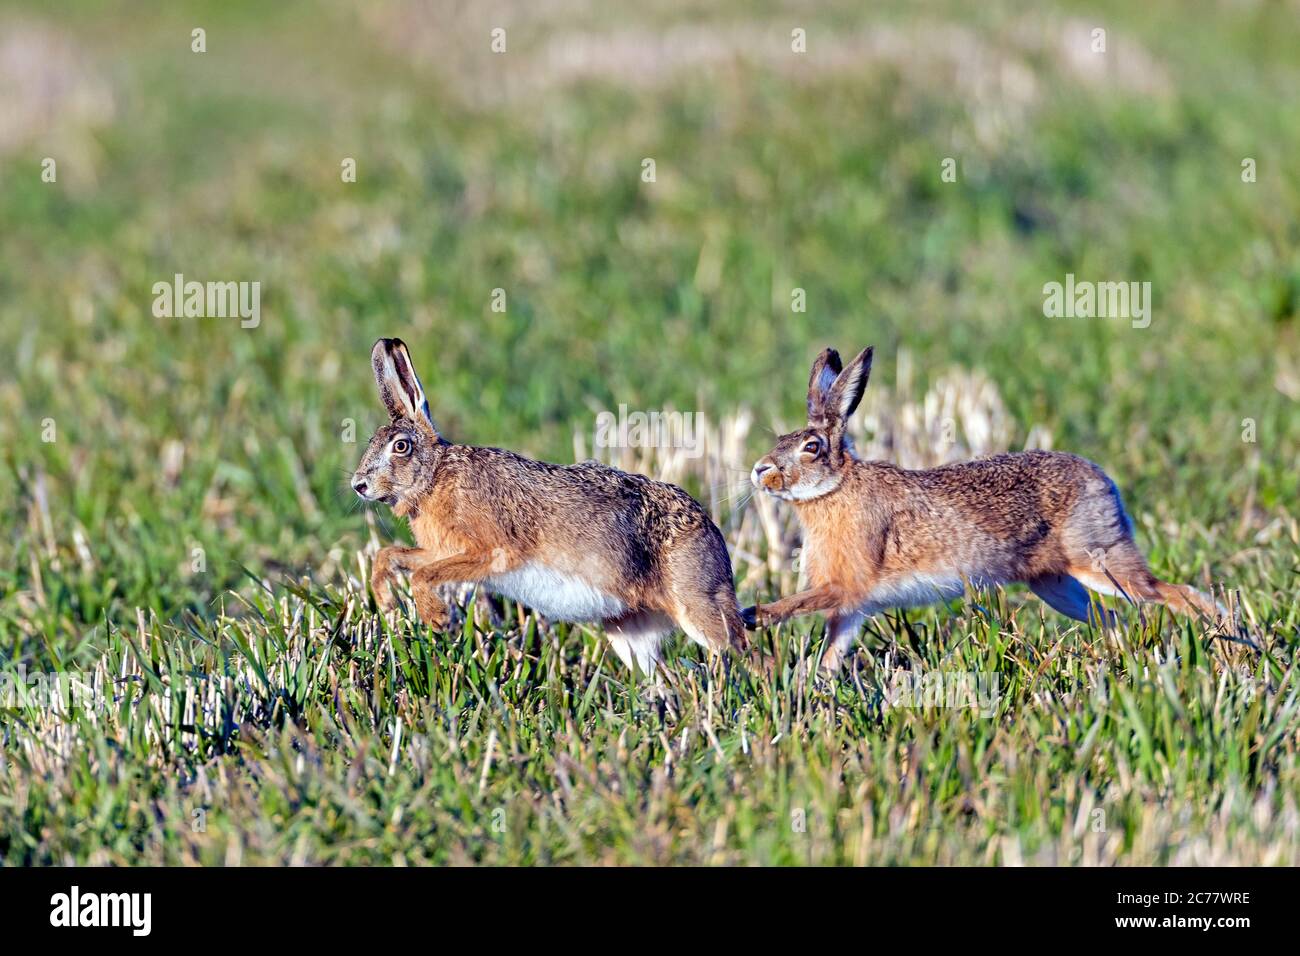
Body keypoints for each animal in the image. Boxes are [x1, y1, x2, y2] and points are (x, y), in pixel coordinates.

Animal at [351, 337, 749, 674]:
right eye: (371, 441)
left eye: (401, 446)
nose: (359, 485)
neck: (435, 477)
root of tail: (712, 532)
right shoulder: (440, 551)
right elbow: (391, 555)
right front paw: (386, 602)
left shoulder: (491, 552)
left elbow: (423, 574)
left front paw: (436, 619)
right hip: (630, 631)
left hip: (696, 601)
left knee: (739, 648)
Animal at [741, 345, 1227, 677]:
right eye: (781, 439)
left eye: (811, 447)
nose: (760, 470)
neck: (835, 490)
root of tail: (1104, 481)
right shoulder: (851, 606)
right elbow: (832, 650)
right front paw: (812, 688)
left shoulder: (846, 585)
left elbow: (804, 604)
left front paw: (755, 615)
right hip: (1052, 583)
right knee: (1107, 615)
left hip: (1099, 559)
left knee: (1170, 592)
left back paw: (1226, 635)